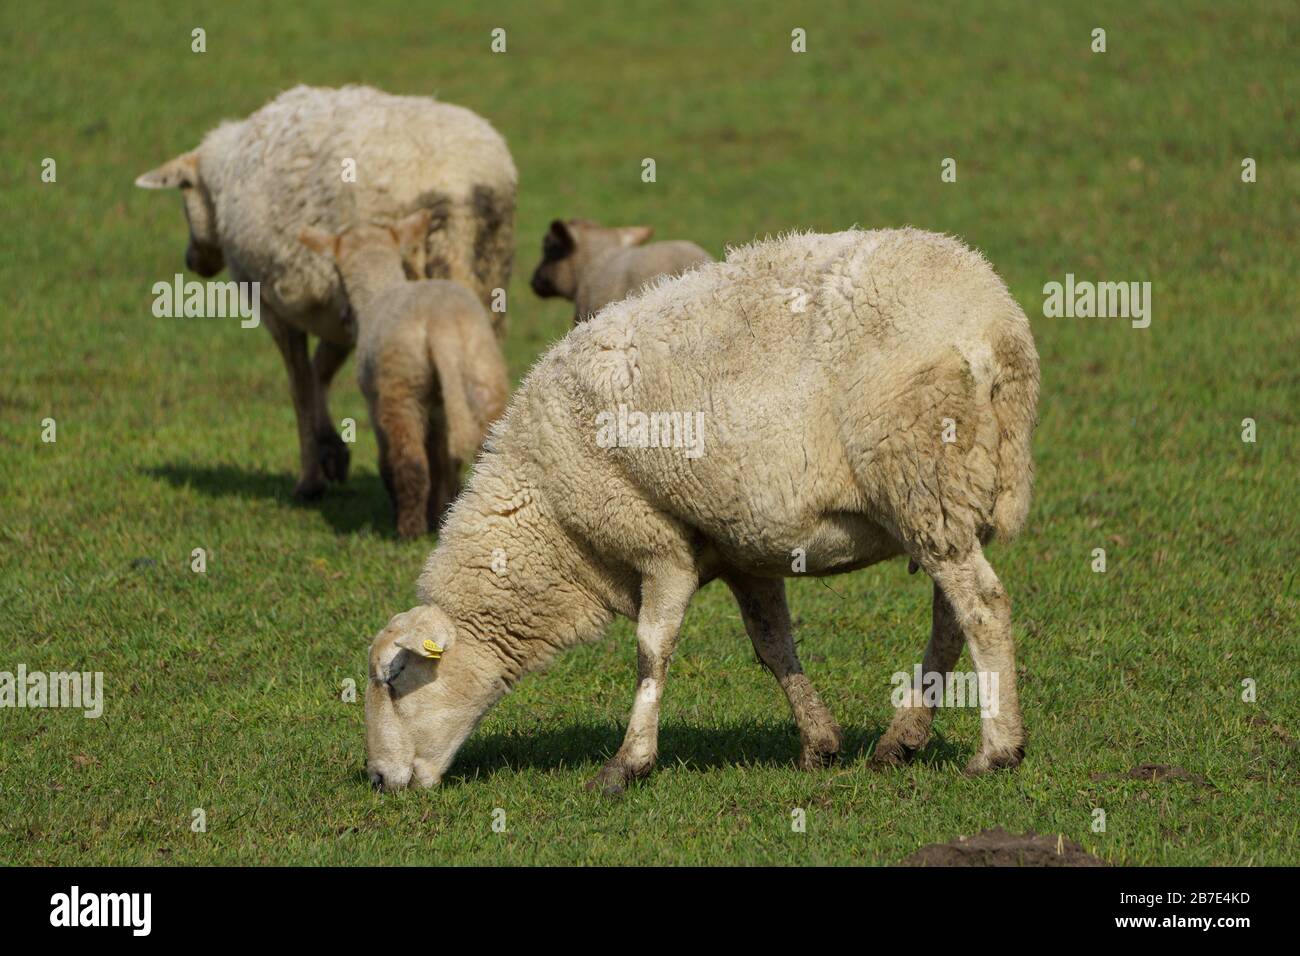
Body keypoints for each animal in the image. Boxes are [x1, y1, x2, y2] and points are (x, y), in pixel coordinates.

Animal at [134, 84, 516, 501]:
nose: (193, 261)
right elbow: (322, 368)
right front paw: (331, 450)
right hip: (484, 288)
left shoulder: (272, 302)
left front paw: (310, 479)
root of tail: (461, 185)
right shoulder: (340, 306)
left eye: (185, 189)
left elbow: (299, 383)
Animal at [299, 211, 509, 538]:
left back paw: (409, 529)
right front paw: (439, 510)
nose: (344, 316)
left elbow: (392, 460)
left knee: (410, 461)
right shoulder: (437, 407)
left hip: (401, 384)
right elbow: (438, 456)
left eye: (337, 272)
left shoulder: (375, 399)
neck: (377, 290)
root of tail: (443, 325)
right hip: (483, 373)